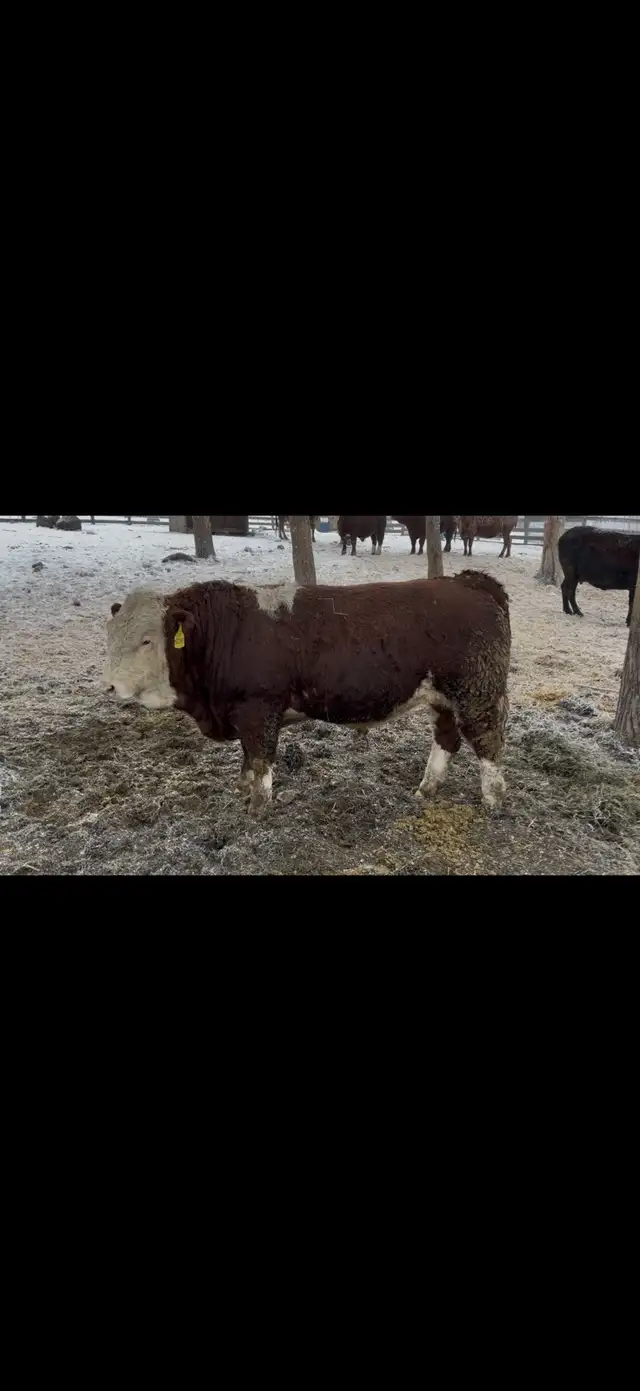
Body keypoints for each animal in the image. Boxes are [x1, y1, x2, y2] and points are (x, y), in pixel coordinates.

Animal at [104, 571, 511, 816]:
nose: (109, 685)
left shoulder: (258, 708)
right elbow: (247, 757)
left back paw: (493, 801)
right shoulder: (241, 712)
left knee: (488, 744)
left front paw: (257, 808)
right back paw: (426, 789)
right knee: (447, 739)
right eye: (111, 635)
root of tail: (467, 581)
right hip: (444, 700)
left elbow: (260, 759)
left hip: (476, 695)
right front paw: (241, 789)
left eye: (146, 640)